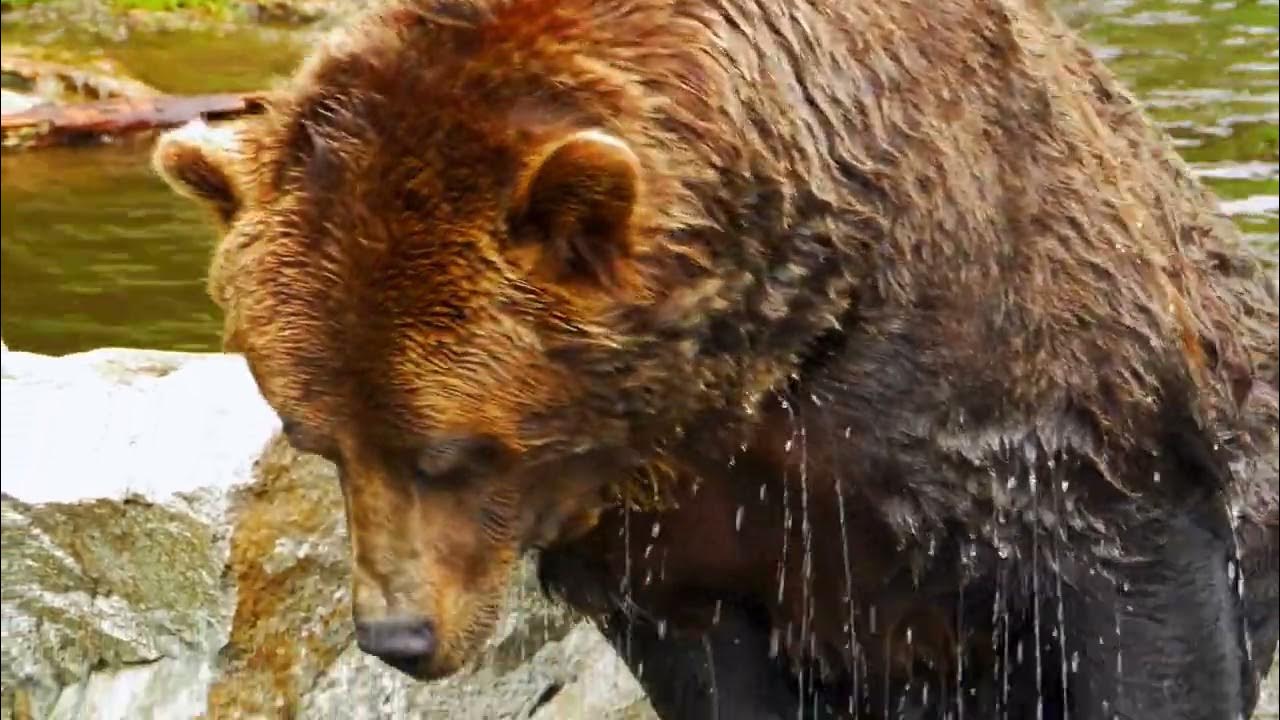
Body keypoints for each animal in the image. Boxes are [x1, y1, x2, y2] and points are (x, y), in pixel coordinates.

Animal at [151, 0, 1280, 718]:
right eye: (317, 440)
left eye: (452, 451)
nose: (397, 636)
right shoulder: (671, 526)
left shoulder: (1013, 374)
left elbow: (1131, 597)